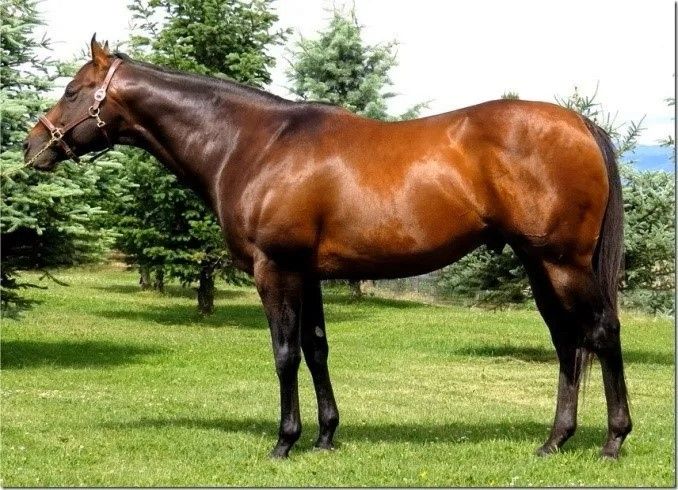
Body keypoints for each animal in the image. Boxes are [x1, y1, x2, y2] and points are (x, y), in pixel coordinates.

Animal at [24, 36, 631, 459]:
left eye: (72, 91)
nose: (32, 146)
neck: (255, 143)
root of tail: (580, 123)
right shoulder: (308, 273)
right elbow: (316, 350)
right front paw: (325, 437)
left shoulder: (275, 269)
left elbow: (285, 353)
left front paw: (284, 441)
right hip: (539, 264)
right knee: (567, 342)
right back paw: (554, 441)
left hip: (562, 263)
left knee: (600, 333)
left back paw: (612, 440)